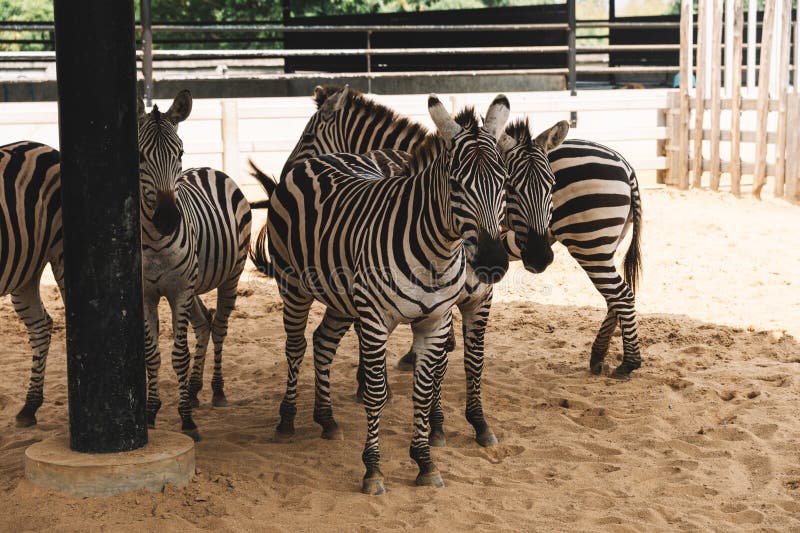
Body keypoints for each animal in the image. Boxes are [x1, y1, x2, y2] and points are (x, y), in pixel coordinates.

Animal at [137, 90, 252, 441]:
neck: (154, 241)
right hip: (196, 283)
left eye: (180, 153)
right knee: (205, 322)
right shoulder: (146, 293)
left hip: (230, 276)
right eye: (140, 156)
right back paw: (196, 389)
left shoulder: (179, 290)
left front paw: (186, 420)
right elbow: (151, 355)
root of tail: (210, 169)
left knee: (220, 327)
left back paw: (216, 389)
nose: (167, 219)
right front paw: (151, 412)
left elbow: (179, 355)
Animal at [249, 85, 566, 447]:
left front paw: (477, 422)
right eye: (512, 186)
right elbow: (441, 358)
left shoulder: (478, 299)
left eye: (552, 185)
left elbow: (473, 359)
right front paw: (437, 424)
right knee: (303, 342)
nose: (540, 256)